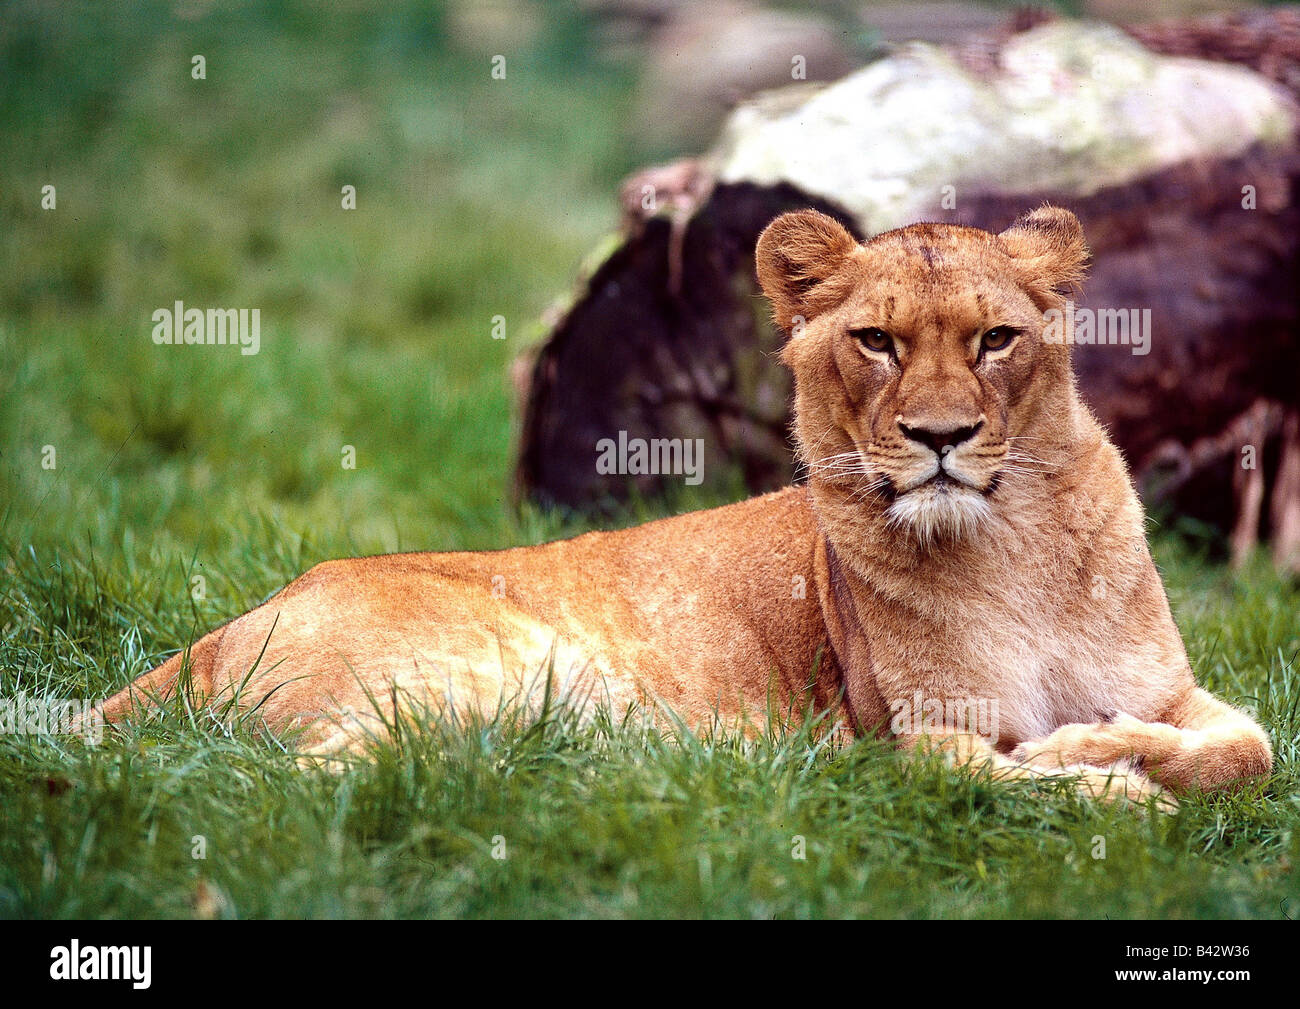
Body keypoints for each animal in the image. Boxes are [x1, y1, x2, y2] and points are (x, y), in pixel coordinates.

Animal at [98, 206, 1271, 804]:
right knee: (311, 775)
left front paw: (1111, 747)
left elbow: (1247, 749)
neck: (1010, 542)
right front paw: (1100, 777)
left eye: (994, 340)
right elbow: (995, 773)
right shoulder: (916, 730)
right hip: (490, 666)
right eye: (876, 340)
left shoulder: (1177, 691)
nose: (939, 438)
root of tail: (222, 629)